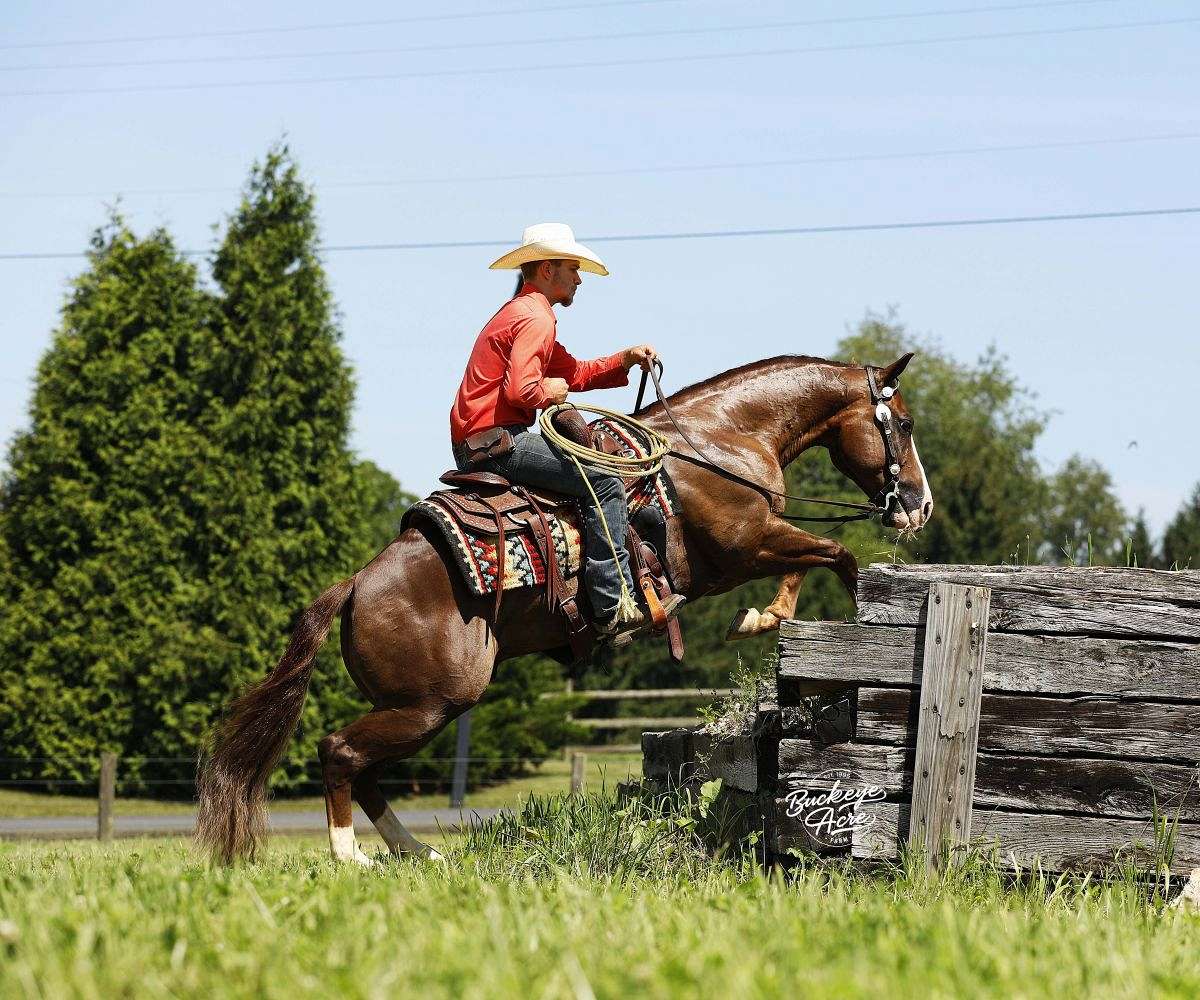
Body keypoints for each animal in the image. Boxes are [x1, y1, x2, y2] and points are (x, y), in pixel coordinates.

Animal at [196, 352, 933, 865]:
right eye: (902, 424)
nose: (919, 506)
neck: (718, 441)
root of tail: (355, 585)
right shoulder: (741, 549)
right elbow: (835, 553)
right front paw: (794, 619)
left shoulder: (752, 548)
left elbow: (816, 557)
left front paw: (772, 617)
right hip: (434, 701)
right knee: (340, 751)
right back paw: (351, 857)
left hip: (416, 705)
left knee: (364, 767)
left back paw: (417, 851)